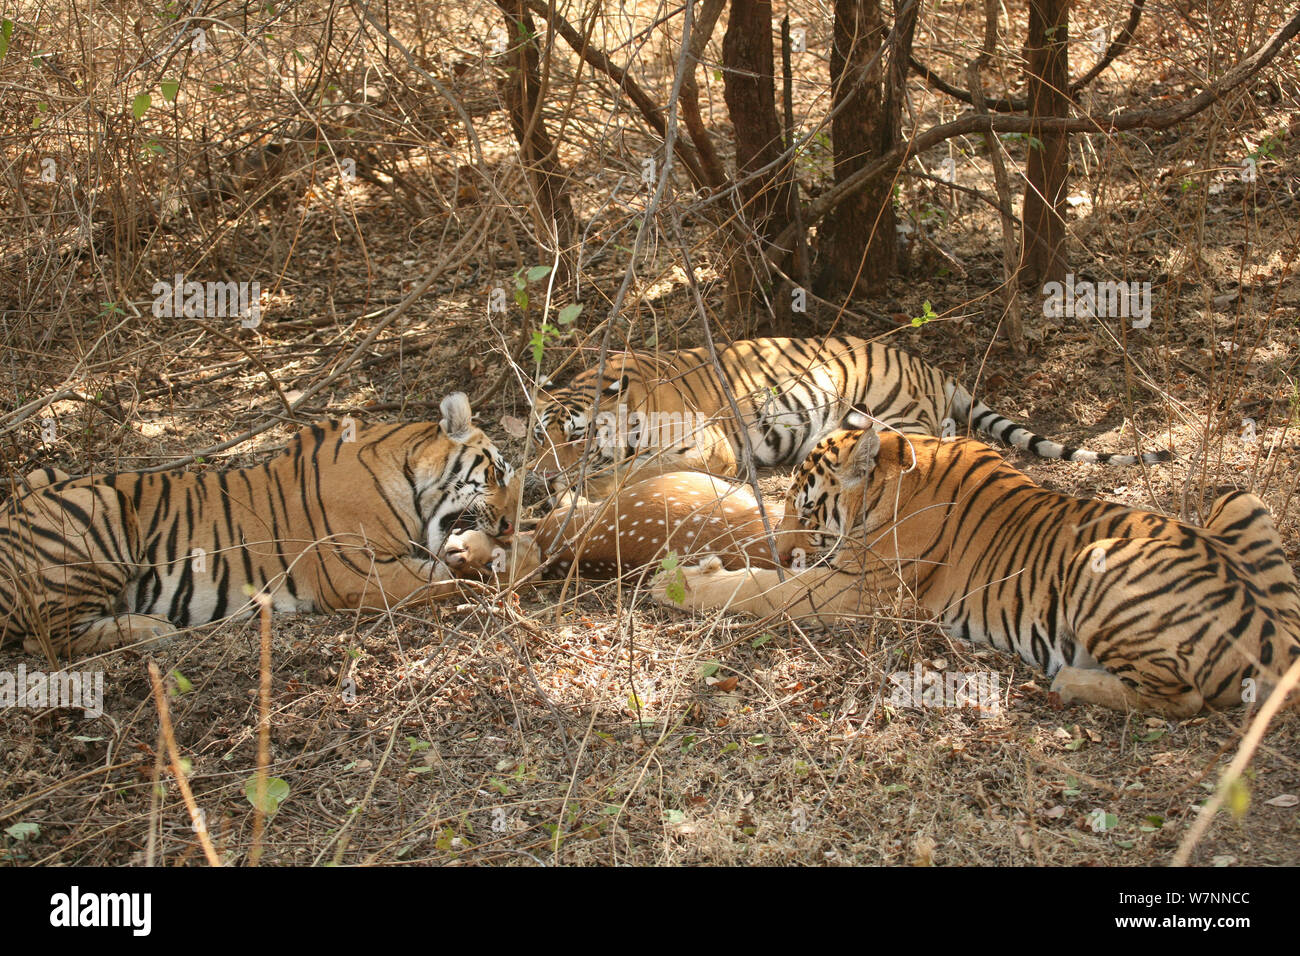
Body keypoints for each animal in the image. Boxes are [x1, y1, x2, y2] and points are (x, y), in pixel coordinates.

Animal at [0, 393, 517, 658]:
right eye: (495, 473)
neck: (406, 477)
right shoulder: (356, 575)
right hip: (96, 507)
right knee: (42, 638)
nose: (510, 525)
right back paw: (151, 629)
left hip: (46, 476)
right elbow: (447, 580)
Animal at [529, 336, 1169, 498]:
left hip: (890, 409)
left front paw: (583, 485)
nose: (538, 479)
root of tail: (930, 366)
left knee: (936, 438)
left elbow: (632, 470)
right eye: (538, 436)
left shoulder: (709, 448)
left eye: (576, 437)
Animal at [653, 419, 1300, 718]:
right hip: (1240, 498)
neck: (898, 472)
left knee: (1184, 699)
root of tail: (1277, 638)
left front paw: (676, 583)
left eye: (808, 509)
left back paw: (1070, 681)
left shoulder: (853, 590)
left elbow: (759, 590)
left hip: (1098, 560)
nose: (783, 545)